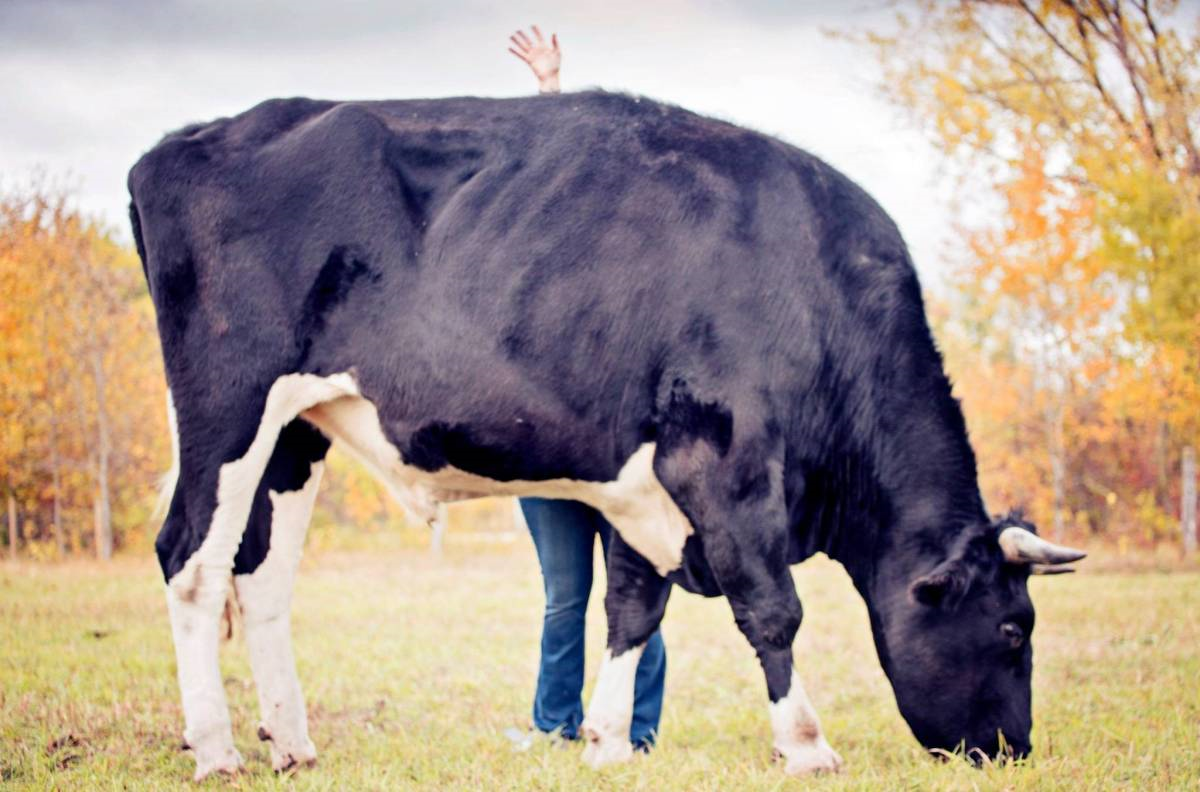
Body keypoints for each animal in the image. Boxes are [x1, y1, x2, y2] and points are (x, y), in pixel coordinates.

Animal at [127, 90, 1086, 781]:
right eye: (1014, 629)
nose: (1017, 750)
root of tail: (190, 138)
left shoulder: (643, 481)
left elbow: (632, 605)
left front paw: (610, 740)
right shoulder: (725, 463)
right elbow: (771, 607)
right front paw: (807, 746)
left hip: (297, 430)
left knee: (262, 576)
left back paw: (293, 744)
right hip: (228, 406)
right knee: (191, 561)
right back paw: (217, 750)